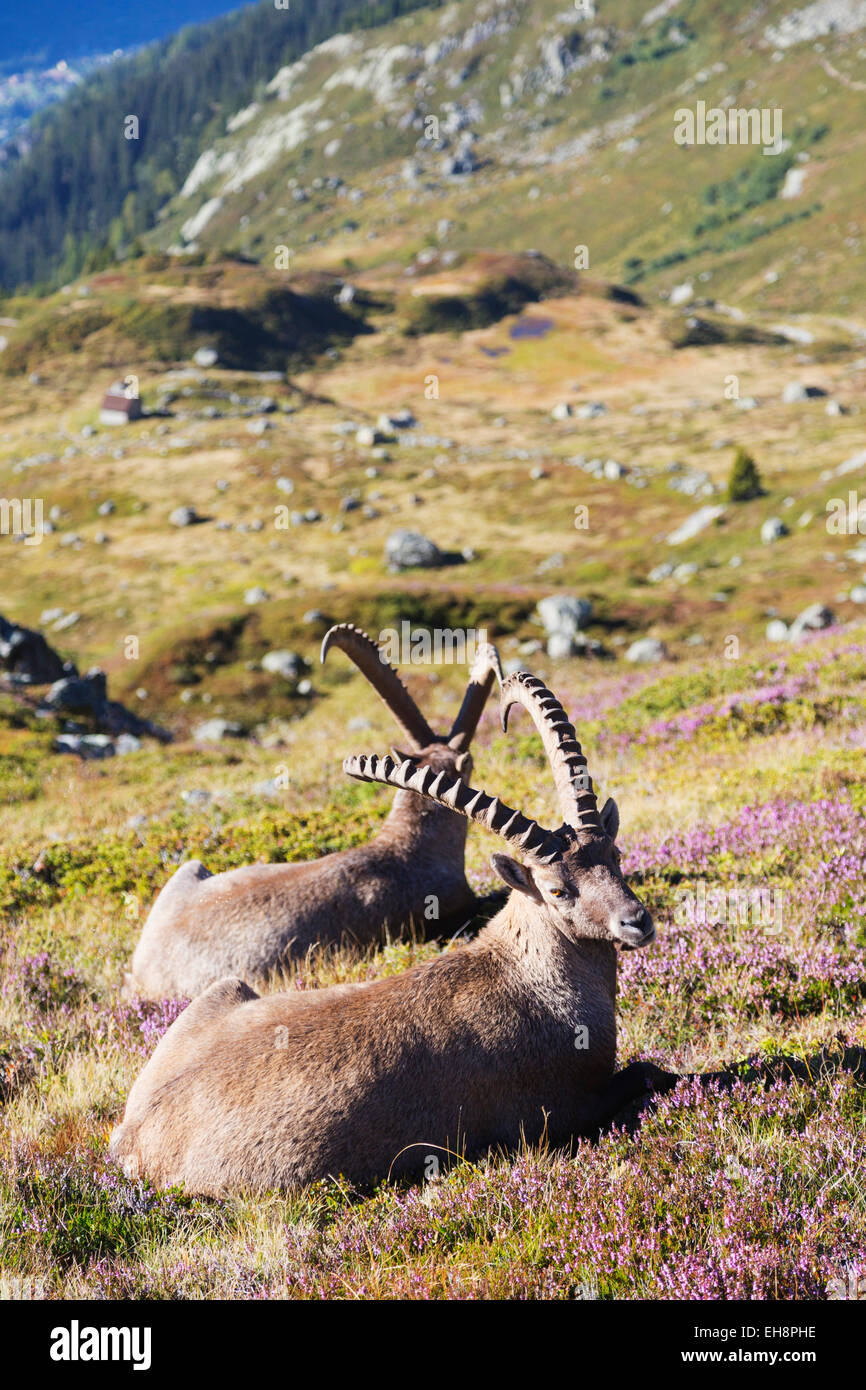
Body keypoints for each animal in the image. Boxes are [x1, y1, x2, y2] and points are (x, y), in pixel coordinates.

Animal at [110, 671, 668, 1196]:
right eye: (556, 889)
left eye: (615, 854)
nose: (635, 921)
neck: (533, 981)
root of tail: (131, 1139)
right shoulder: (557, 1113)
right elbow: (647, 1071)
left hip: (226, 988)